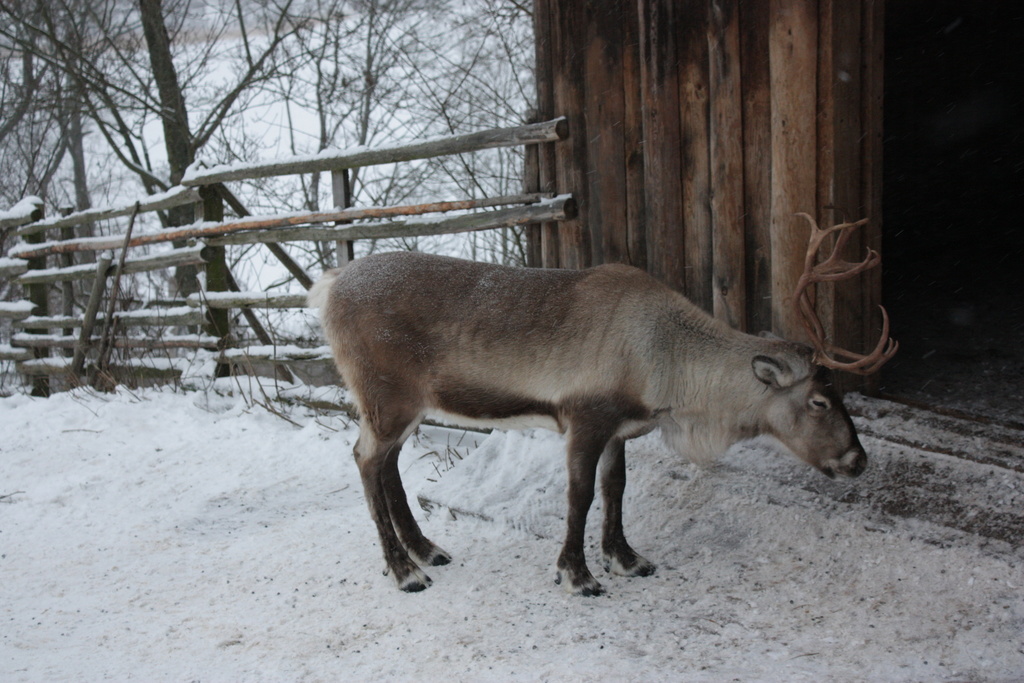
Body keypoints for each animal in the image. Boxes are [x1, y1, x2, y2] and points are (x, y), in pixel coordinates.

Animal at [308, 214, 897, 596]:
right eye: (819, 400)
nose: (858, 460)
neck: (668, 368)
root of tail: (327, 285)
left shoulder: (620, 428)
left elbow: (616, 489)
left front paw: (627, 559)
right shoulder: (585, 419)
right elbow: (581, 495)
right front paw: (577, 574)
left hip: (405, 404)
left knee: (387, 465)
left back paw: (427, 550)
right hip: (386, 395)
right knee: (365, 459)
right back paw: (405, 572)